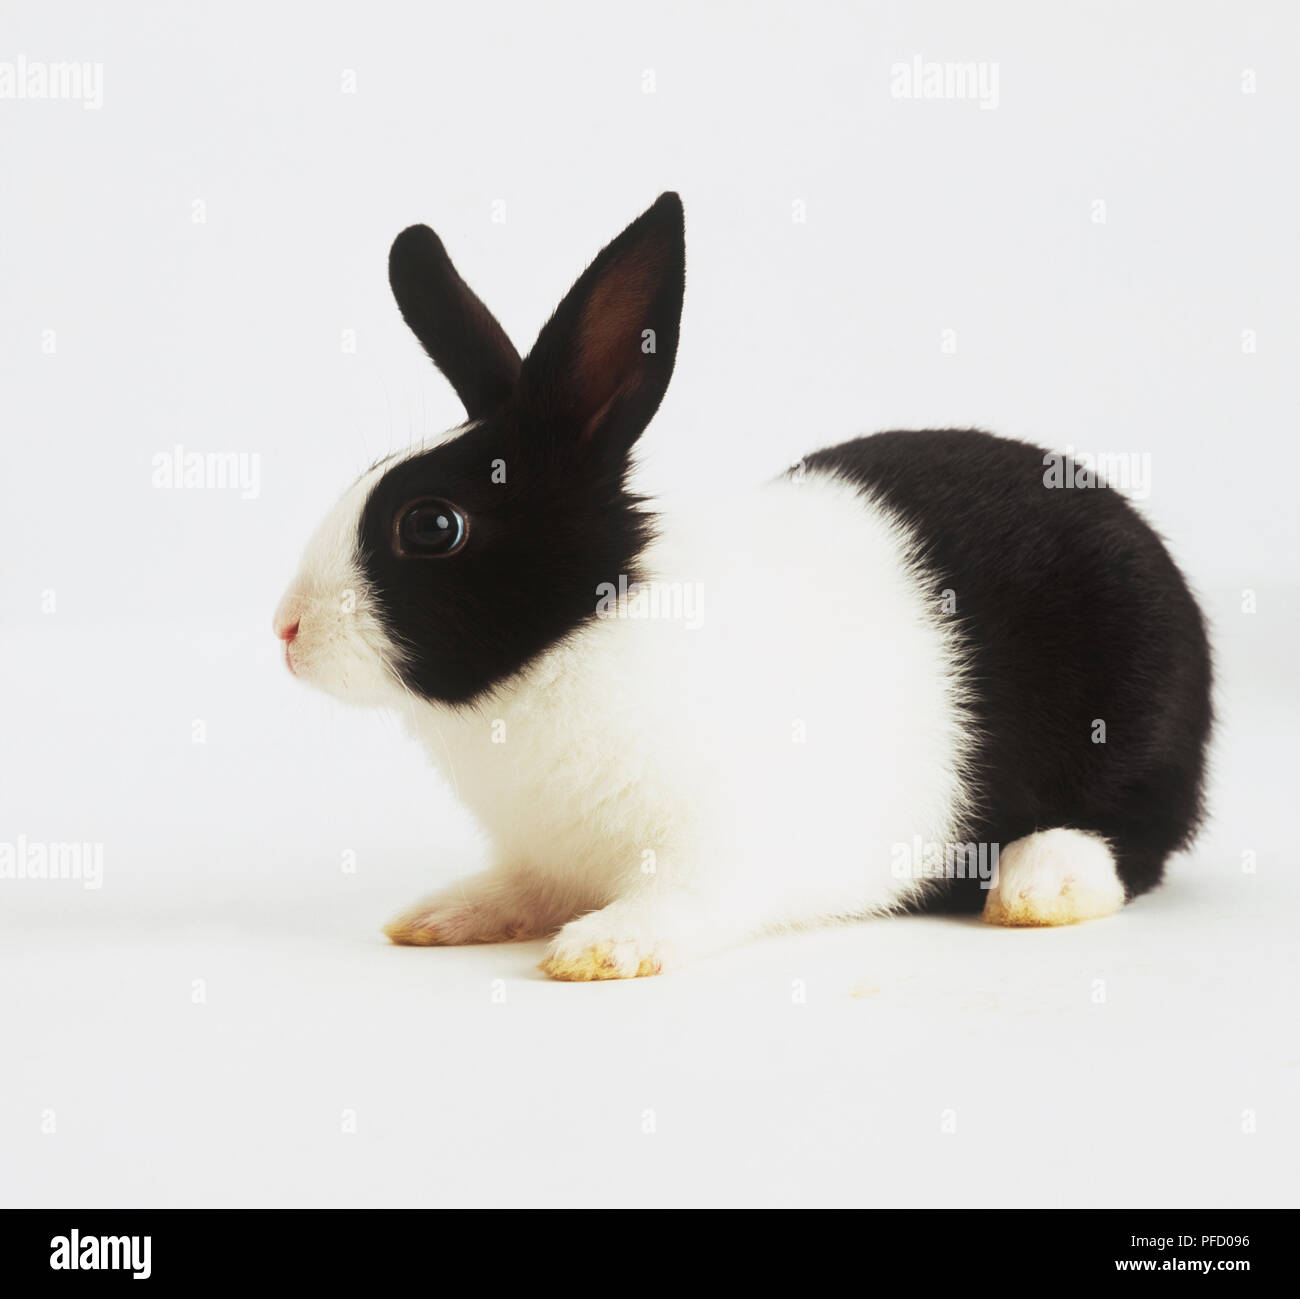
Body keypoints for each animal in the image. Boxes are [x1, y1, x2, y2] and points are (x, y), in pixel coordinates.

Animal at [273, 192, 1213, 979]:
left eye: (432, 525)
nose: (285, 630)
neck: (581, 637)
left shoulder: (720, 849)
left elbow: (685, 900)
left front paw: (601, 948)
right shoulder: (547, 857)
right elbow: (524, 887)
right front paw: (443, 914)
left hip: (1129, 726)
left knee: (1139, 836)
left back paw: (1036, 883)